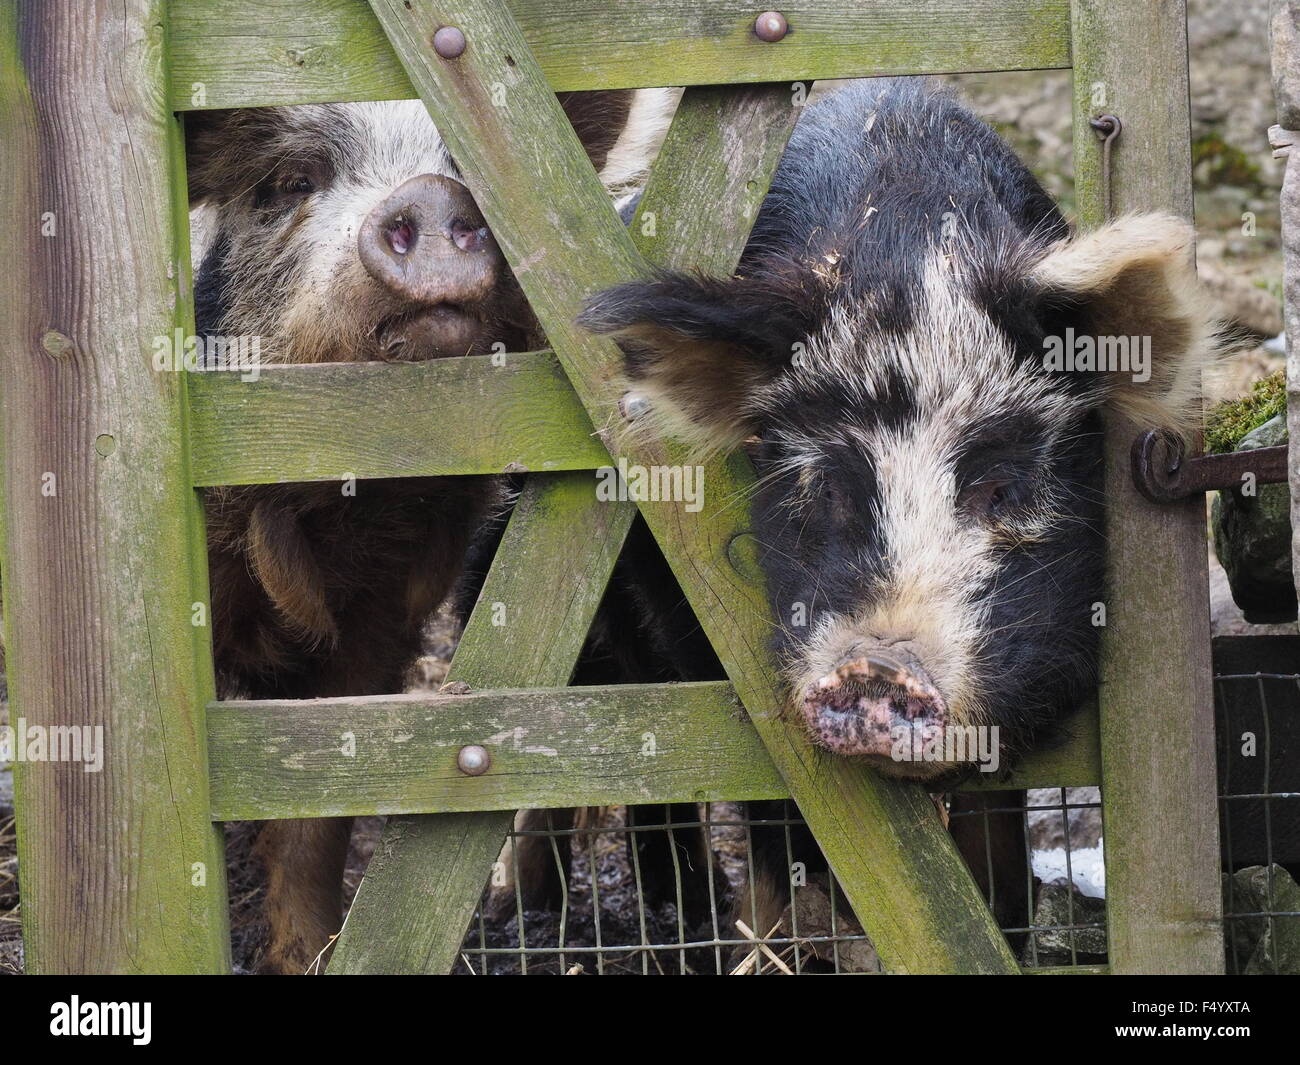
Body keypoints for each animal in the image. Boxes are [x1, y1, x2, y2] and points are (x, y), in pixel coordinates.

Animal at [186, 91, 645, 974]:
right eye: (290, 182)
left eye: (468, 165)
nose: (432, 195)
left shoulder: (383, 615)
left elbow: (319, 810)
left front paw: (312, 954)